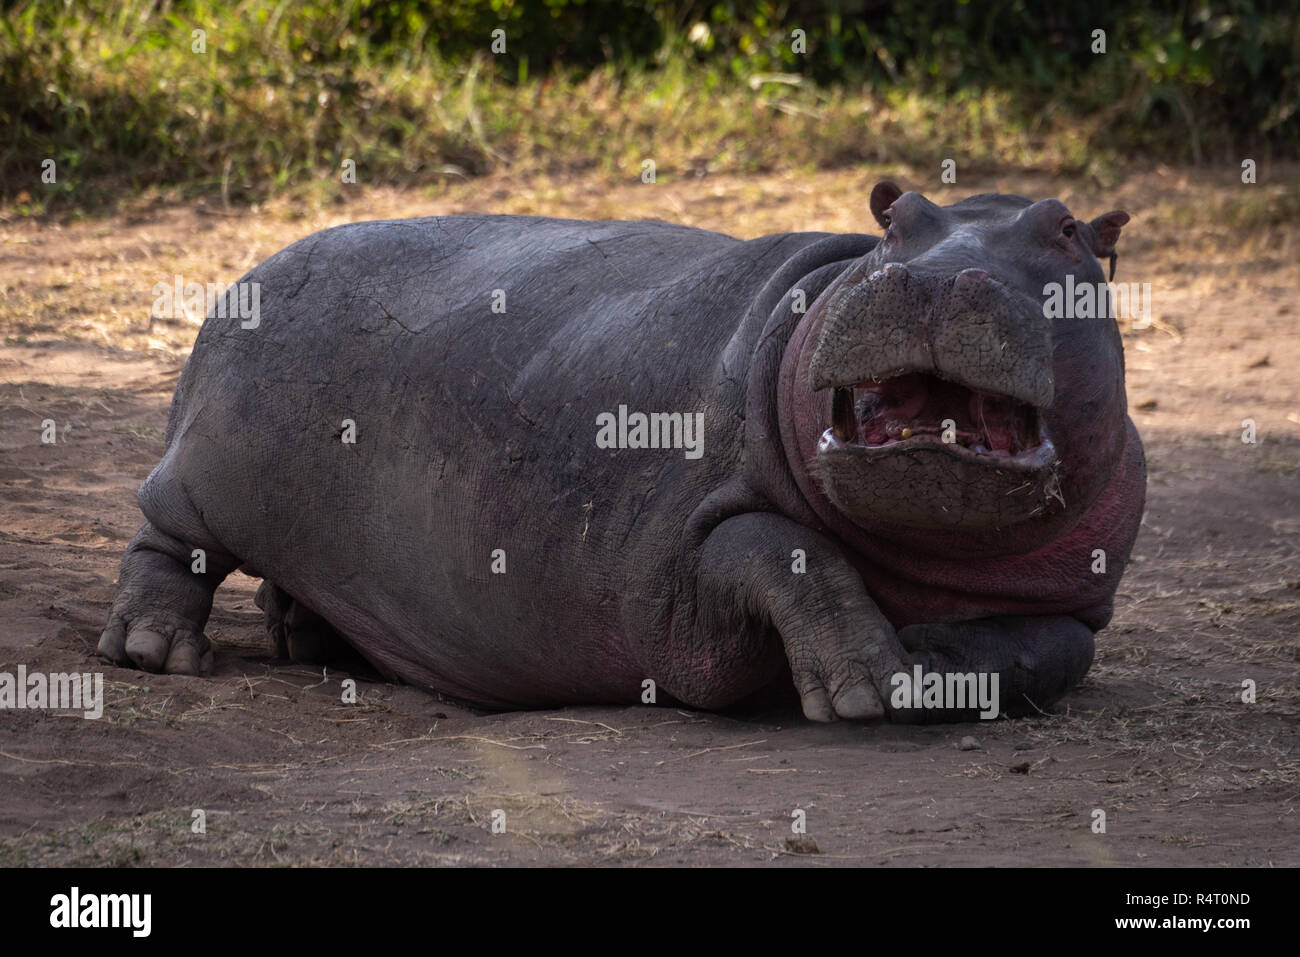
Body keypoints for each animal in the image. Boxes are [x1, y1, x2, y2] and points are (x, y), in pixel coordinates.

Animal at [98, 182, 1145, 722]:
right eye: (895, 219)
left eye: (1069, 230)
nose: (929, 280)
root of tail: (250, 269)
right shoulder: (668, 570)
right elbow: (779, 548)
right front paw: (869, 684)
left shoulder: (1078, 596)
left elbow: (1058, 648)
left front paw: (931, 657)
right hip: (205, 473)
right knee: (165, 539)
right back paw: (156, 650)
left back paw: (306, 633)